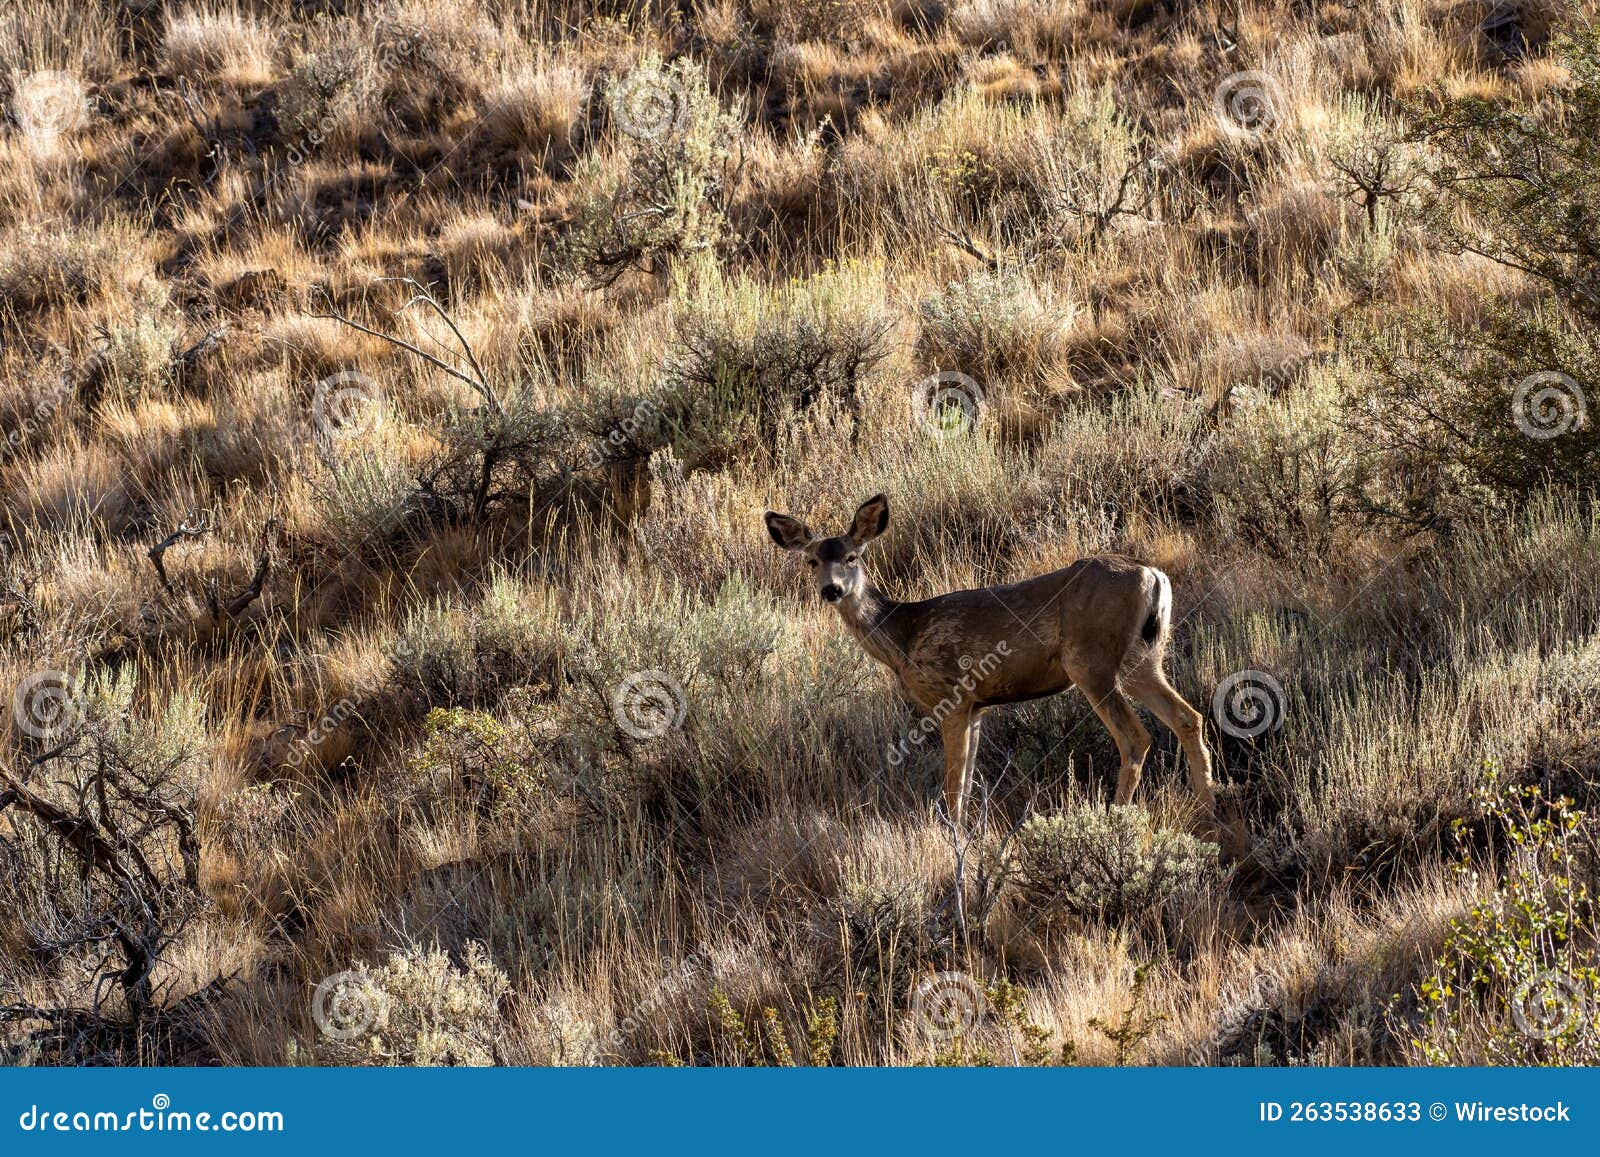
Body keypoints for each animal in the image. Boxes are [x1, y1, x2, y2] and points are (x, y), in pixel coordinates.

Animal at [764, 494, 1215, 826]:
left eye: (852, 557)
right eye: (812, 560)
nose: (832, 590)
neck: (902, 636)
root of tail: (1154, 575)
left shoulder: (952, 696)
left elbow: (952, 782)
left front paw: (954, 836)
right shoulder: (978, 706)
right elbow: (966, 779)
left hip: (1092, 659)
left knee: (1135, 737)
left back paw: (1116, 819)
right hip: (1143, 656)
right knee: (1187, 717)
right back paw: (1208, 806)